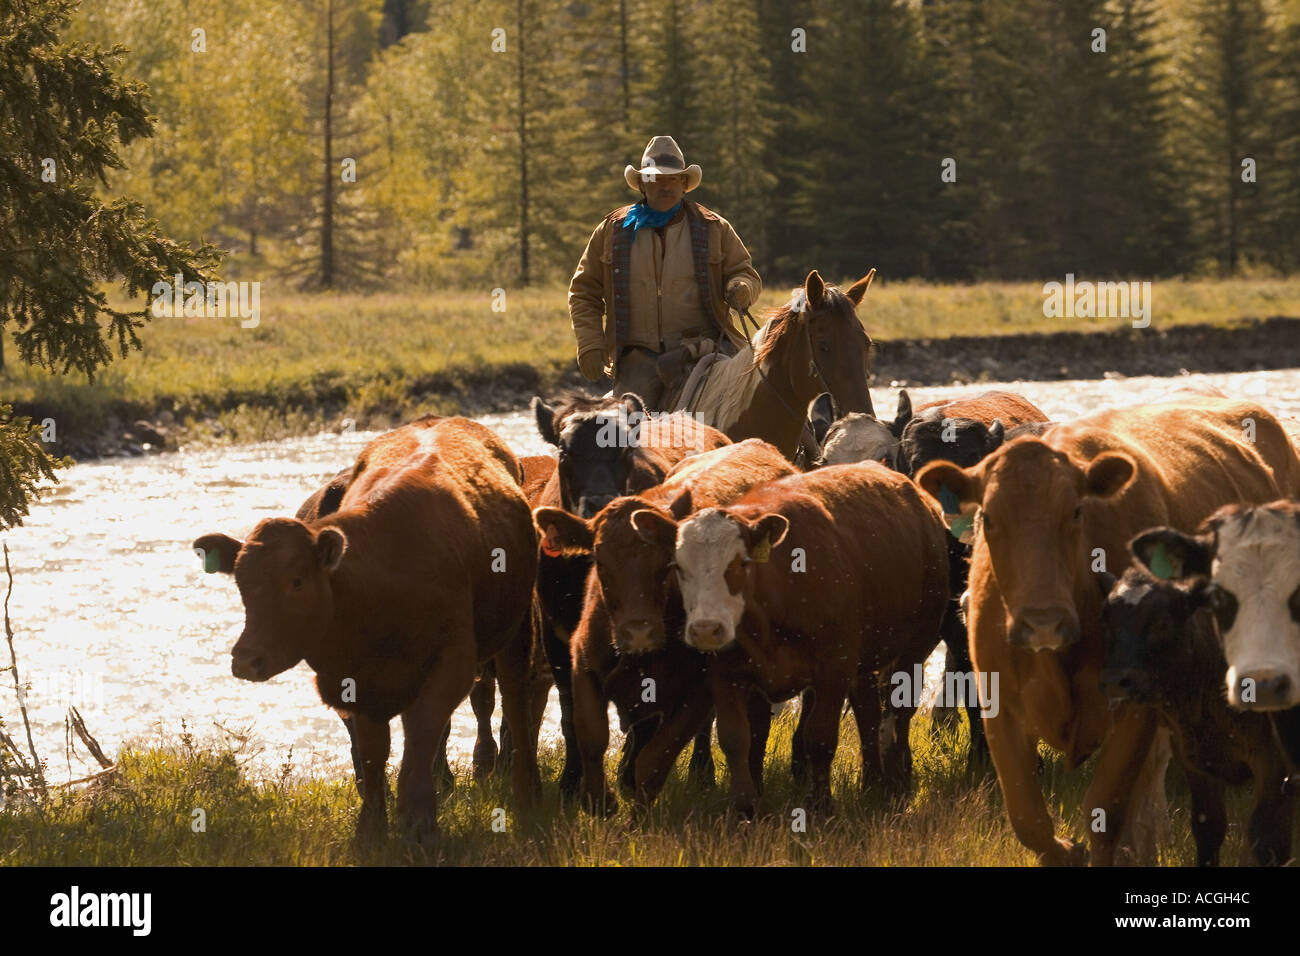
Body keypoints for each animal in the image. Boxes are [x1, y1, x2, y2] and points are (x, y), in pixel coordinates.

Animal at [195, 417, 541, 844]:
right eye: (241, 584)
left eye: (297, 582)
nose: (246, 659)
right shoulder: (354, 683)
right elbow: (375, 754)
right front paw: (372, 831)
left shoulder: (450, 667)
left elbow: (420, 740)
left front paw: (419, 825)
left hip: (517, 632)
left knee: (516, 704)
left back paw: (526, 791)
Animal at [531, 391, 731, 797]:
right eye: (564, 450)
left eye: (623, 449)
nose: (598, 501)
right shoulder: (556, 637)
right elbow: (571, 715)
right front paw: (570, 783)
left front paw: (626, 778)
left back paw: (701, 770)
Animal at [534, 439, 798, 814]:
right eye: (598, 559)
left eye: (668, 563)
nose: (638, 632)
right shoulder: (583, 664)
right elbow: (591, 736)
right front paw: (600, 802)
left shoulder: (699, 690)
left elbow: (655, 758)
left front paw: (637, 816)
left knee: (754, 726)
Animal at [670, 462, 952, 818]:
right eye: (679, 567)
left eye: (741, 563)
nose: (706, 629)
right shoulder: (725, 672)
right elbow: (736, 738)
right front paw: (744, 808)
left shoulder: (834, 668)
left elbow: (819, 738)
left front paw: (820, 806)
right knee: (869, 713)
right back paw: (871, 782)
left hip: (915, 648)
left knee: (898, 714)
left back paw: (898, 781)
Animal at [1099, 565, 1294, 865]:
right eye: (1107, 621)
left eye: (1163, 623)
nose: (1115, 681)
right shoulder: (1196, 762)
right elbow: (1208, 829)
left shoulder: (1275, 764)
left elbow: (1267, 844)